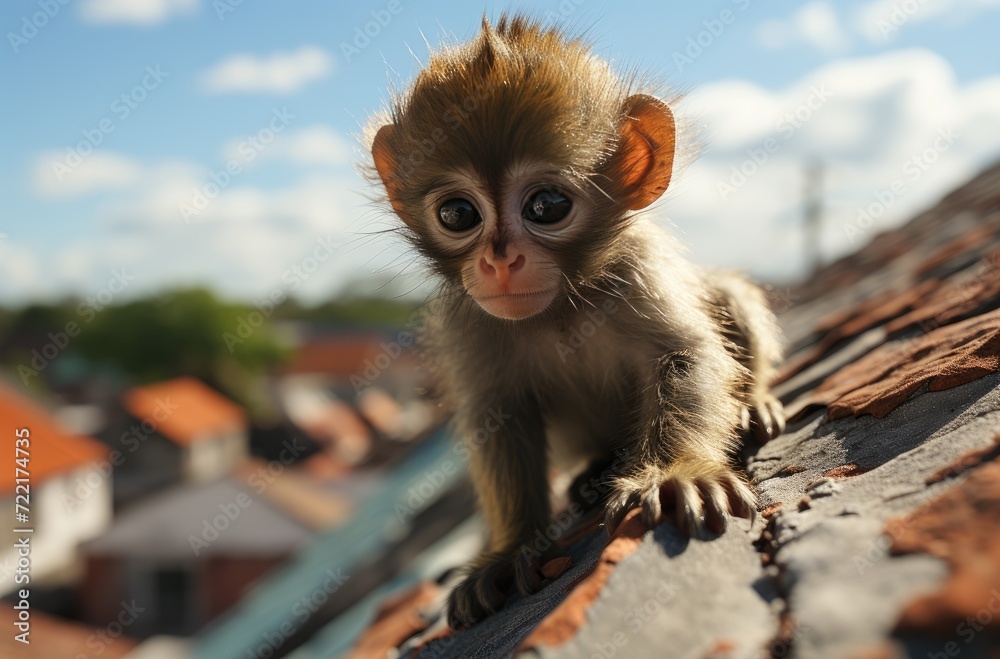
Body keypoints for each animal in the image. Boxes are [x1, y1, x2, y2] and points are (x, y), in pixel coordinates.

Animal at [364, 14, 786, 629]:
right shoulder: (468, 320)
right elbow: (498, 413)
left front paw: (676, 470)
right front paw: (510, 549)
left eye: (547, 206)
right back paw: (592, 473)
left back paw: (752, 402)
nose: (499, 262)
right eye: (458, 214)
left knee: (725, 296)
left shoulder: (636, 268)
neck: (561, 309)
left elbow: (686, 355)